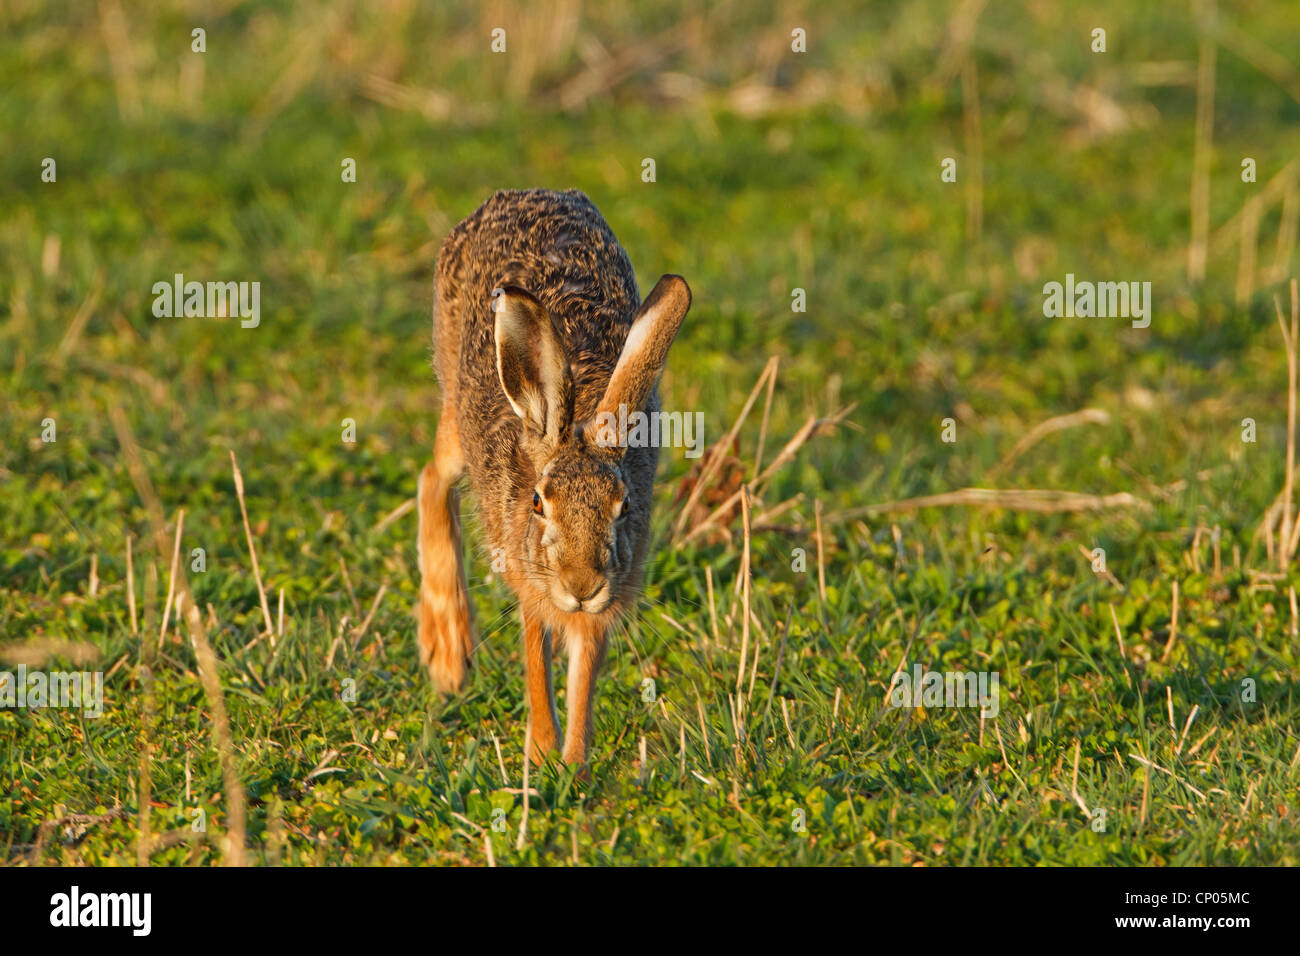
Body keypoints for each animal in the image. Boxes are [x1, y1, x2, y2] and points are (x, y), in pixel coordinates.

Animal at [417, 188, 691, 766]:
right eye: (540, 503)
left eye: (624, 505)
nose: (581, 584)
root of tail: (522, 194)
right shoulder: (531, 575)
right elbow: (535, 656)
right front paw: (542, 752)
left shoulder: (611, 591)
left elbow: (584, 667)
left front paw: (575, 762)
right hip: (455, 411)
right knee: (434, 477)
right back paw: (448, 654)